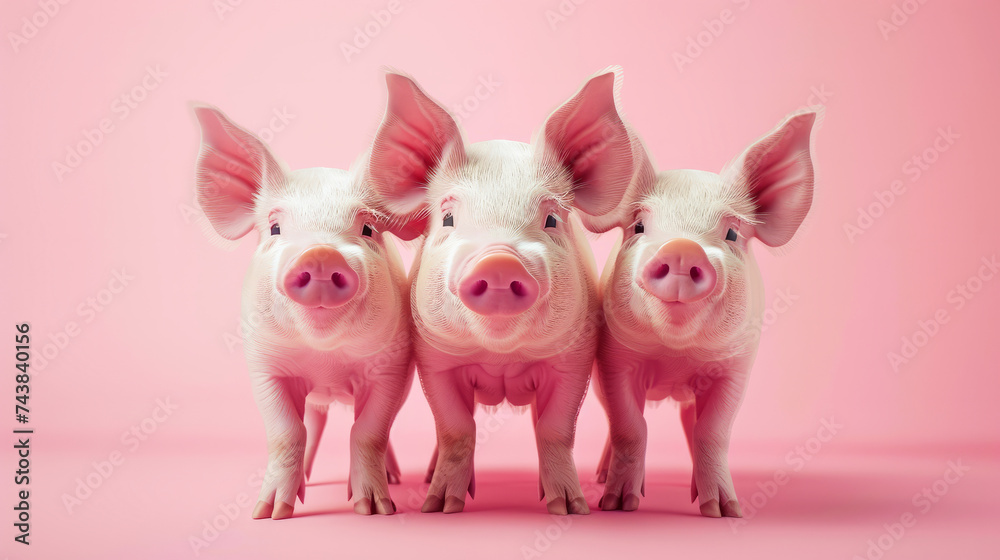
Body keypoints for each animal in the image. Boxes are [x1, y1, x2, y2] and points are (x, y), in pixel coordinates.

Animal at [193, 105, 420, 518]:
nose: (320, 254)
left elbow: (369, 431)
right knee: (313, 421)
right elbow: (286, 432)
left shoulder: (393, 369)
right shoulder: (264, 366)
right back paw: (309, 480)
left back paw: (391, 478)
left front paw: (375, 509)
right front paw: (269, 513)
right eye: (275, 227)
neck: (326, 360)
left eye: (368, 228)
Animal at [367, 69, 641, 514]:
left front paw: (569, 508)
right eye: (447, 218)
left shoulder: (574, 359)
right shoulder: (434, 359)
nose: (498, 261)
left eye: (551, 219)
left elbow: (556, 429)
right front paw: (440, 506)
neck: (501, 356)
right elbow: (456, 429)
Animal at [595, 110, 819, 517]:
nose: (682, 249)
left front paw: (723, 511)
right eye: (638, 226)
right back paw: (605, 479)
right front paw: (619, 505)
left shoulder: (737, 367)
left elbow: (713, 430)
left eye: (732, 233)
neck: (676, 355)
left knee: (690, 419)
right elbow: (629, 425)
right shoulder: (614, 361)